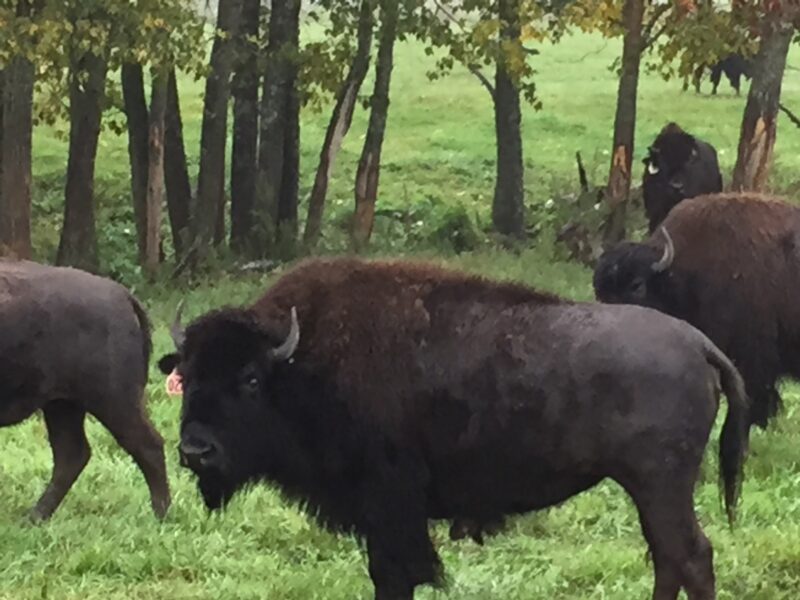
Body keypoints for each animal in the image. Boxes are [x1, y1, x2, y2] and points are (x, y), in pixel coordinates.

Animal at [0, 260, 170, 520]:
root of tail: (123, 295)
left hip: (113, 402)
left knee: (148, 445)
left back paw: (160, 515)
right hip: (62, 405)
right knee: (71, 455)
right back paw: (36, 516)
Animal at [160, 257, 747, 600]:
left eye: (250, 378)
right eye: (188, 375)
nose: (195, 450)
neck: (302, 363)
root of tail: (700, 344)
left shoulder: (390, 508)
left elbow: (396, 574)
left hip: (660, 485)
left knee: (690, 557)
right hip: (649, 488)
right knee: (670, 559)